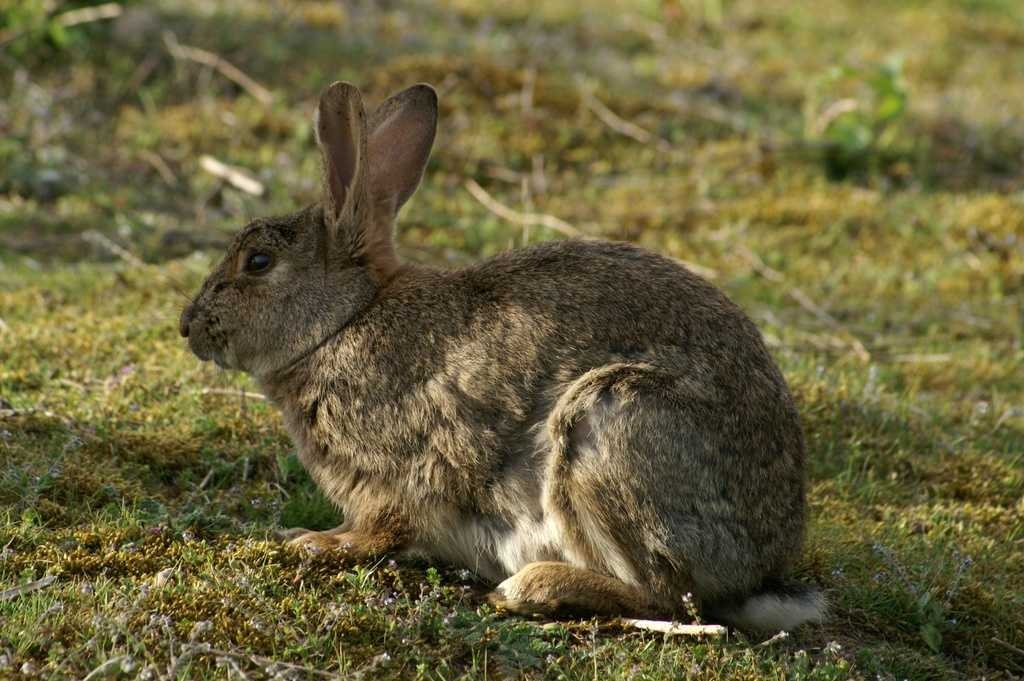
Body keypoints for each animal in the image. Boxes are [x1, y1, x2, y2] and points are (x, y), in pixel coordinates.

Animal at [179, 81, 826, 631]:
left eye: (258, 262)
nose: (189, 327)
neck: (347, 318)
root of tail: (760, 570)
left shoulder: (399, 476)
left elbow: (379, 530)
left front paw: (312, 541)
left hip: (610, 421)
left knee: (667, 595)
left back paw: (534, 586)